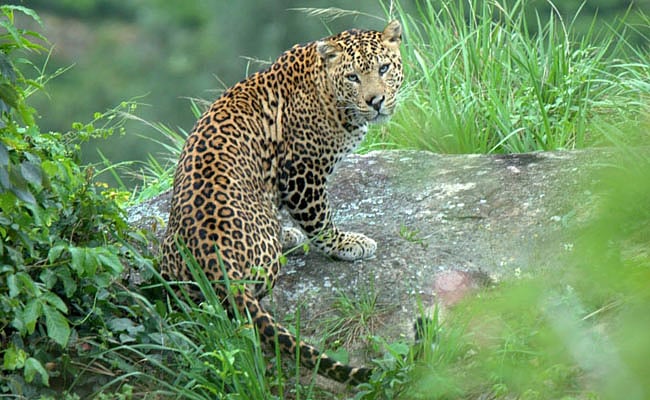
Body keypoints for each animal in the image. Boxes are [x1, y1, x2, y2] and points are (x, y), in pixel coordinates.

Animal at [160, 20, 403, 386]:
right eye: (353, 77)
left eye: (384, 68)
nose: (376, 101)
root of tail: (215, 261)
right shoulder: (304, 173)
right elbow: (320, 220)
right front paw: (347, 245)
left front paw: (291, 233)